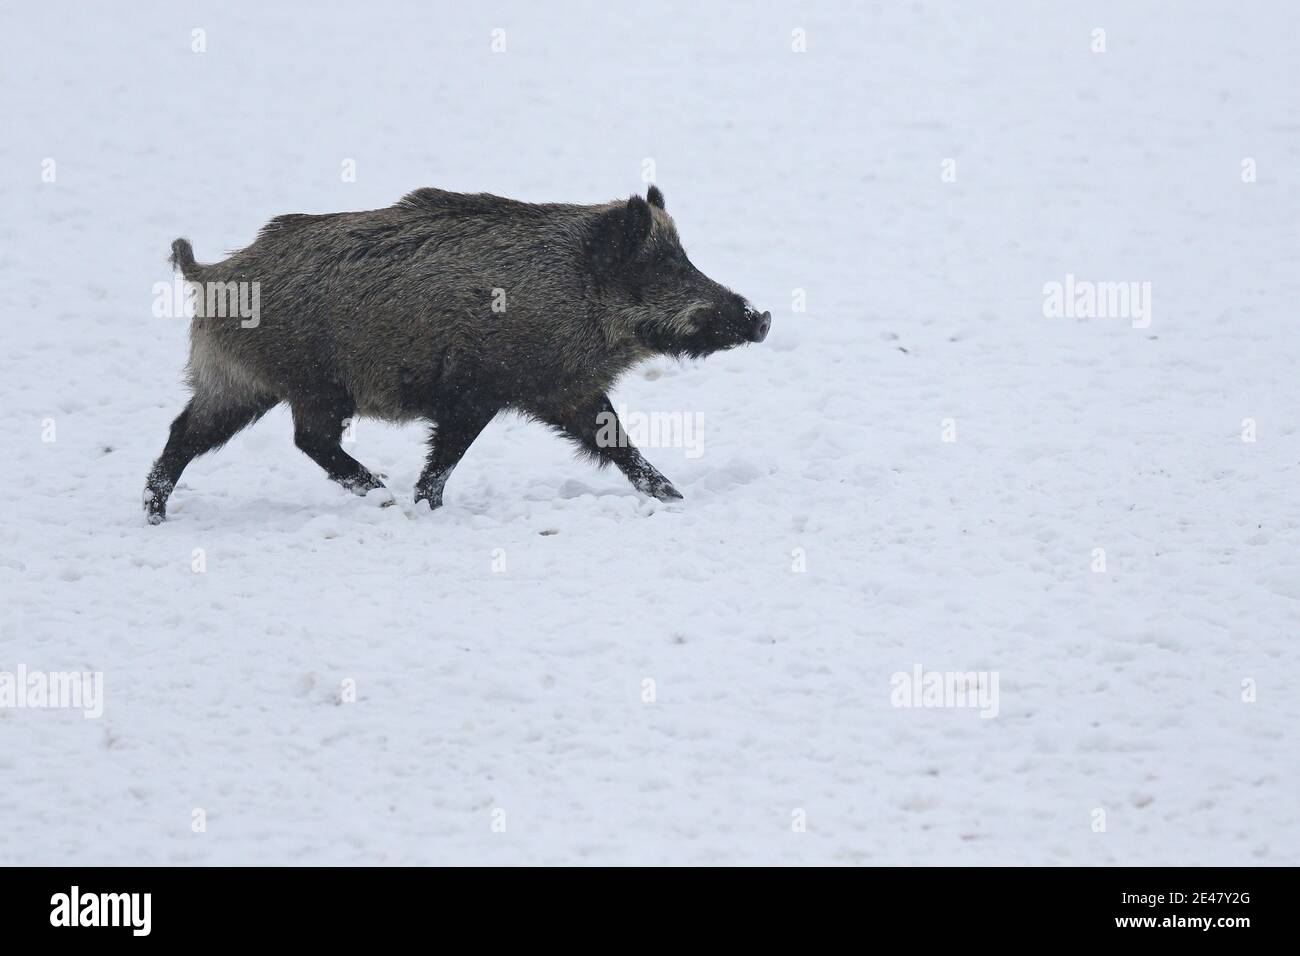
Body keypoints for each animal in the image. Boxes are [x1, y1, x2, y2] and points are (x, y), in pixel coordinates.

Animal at [143, 185, 771, 523]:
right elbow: (445, 458)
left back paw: (155, 517)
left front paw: (674, 498)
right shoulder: (478, 392)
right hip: (309, 384)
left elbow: (617, 444)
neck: (576, 294)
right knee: (307, 440)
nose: (760, 318)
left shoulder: (567, 392)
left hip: (238, 386)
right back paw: (380, 495)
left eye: (683, 258)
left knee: (183, 437)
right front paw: (424, 506)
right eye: (663, 266)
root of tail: (210, 274)